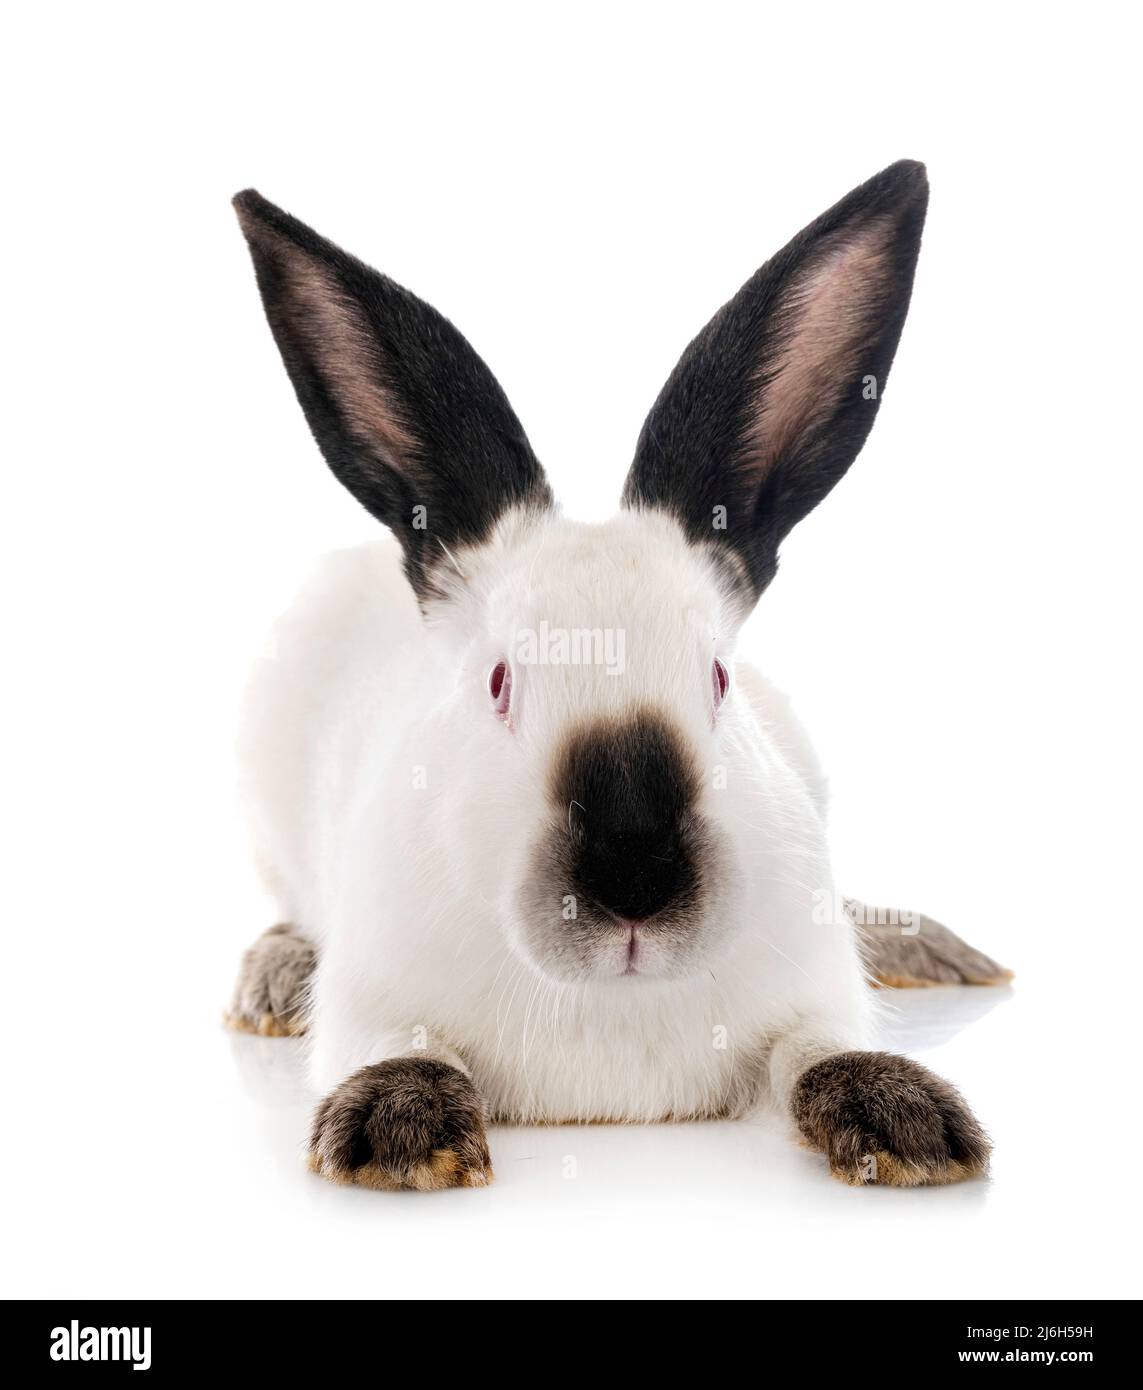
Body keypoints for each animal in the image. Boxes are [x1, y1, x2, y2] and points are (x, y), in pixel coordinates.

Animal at [228, 160, 1010, 1192]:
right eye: (498, 683)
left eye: (717, 678)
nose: (633, 881)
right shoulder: (371, 1002)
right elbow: (398, 1048)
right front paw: (398, 1137)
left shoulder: (808, 996)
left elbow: (820, 1050)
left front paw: (911, 1125)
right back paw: (276, 981)